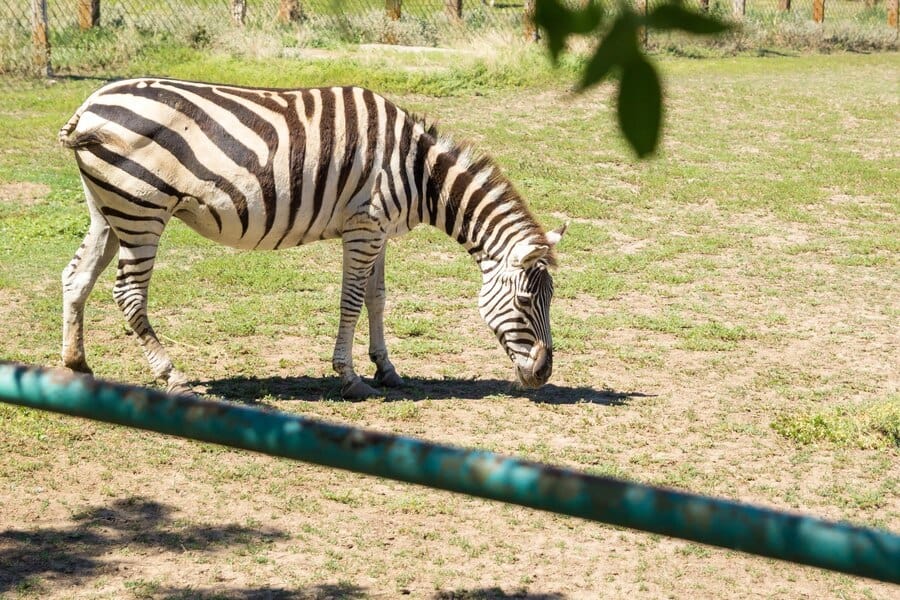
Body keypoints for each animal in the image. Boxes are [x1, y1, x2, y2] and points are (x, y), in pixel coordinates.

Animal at [58, 78, 565, 399]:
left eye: (550, 300)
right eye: (525, 301)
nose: (544, 373)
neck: (420, 173)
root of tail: (88, 105)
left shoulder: (378, 231)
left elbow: (378, 298)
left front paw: (386, 369)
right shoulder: (363, 228)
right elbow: (352, 301)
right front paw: (350, 377)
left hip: (108, 210)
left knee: (75, 277)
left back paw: (76, 363)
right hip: (141, 209)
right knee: (128, 294)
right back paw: (173, 375)